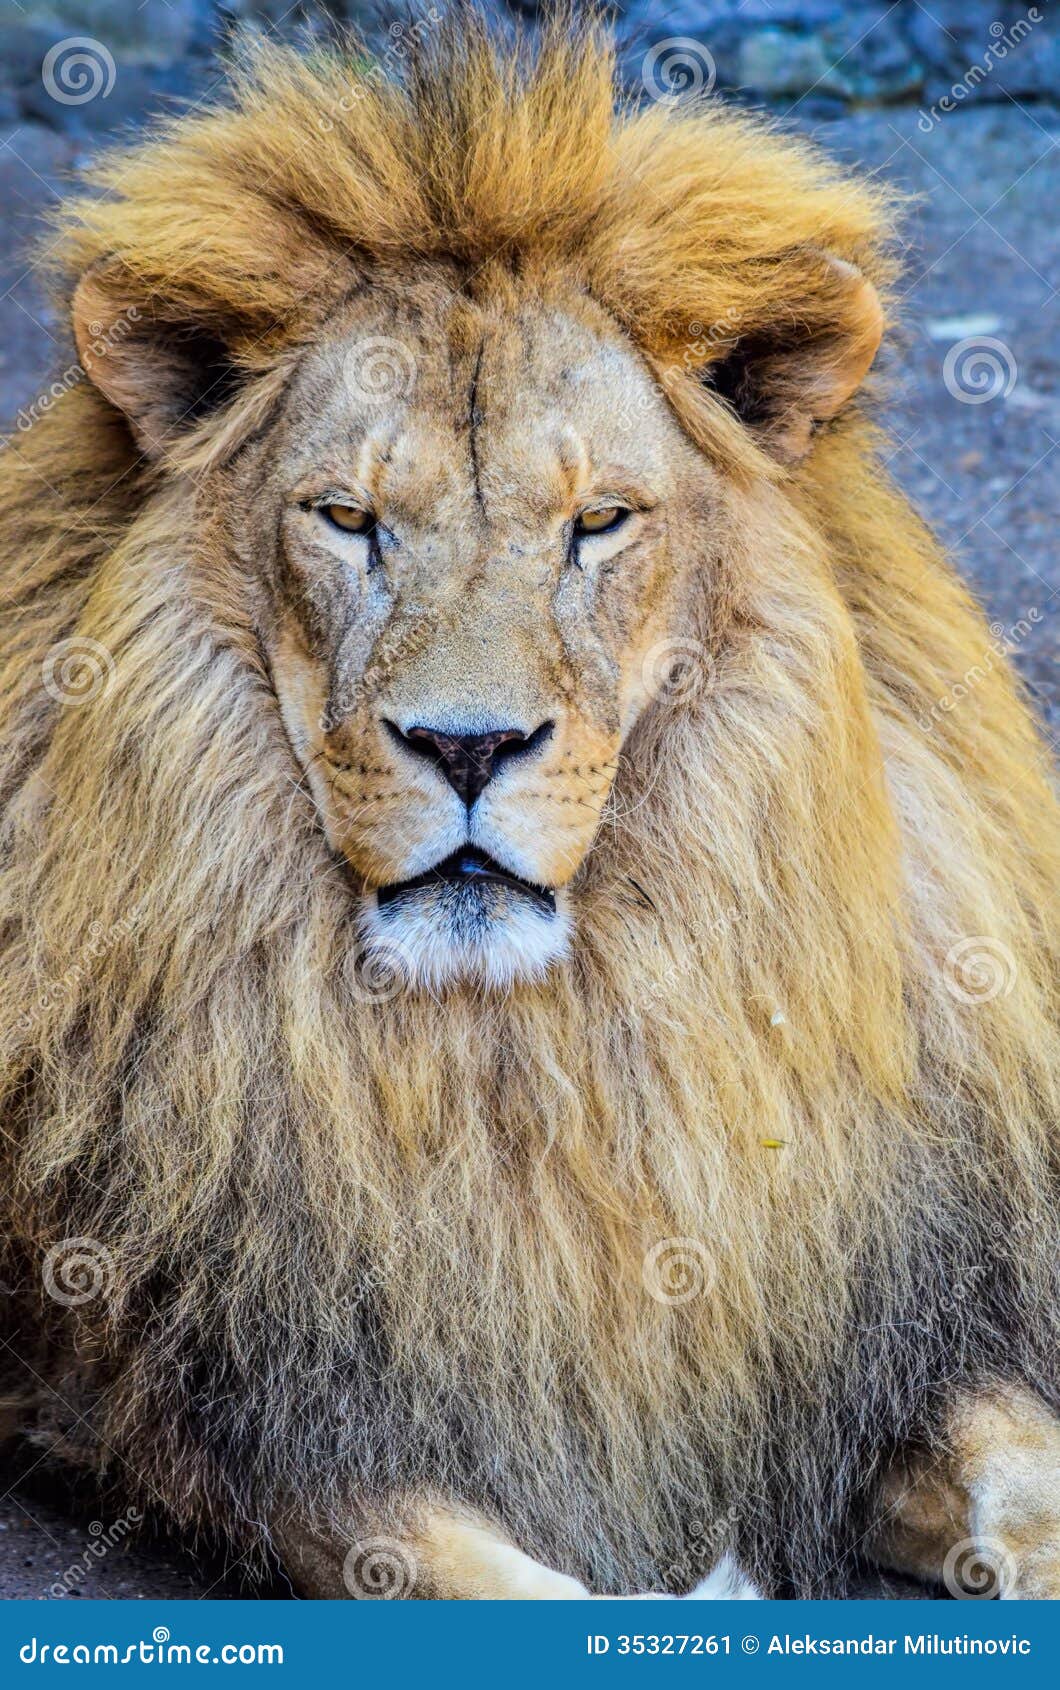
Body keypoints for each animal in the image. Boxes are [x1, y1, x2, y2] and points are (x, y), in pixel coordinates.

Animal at [0, 14, 1057, 1601]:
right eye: (349, 519)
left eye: (597, 523)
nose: (469, 744)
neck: (545, 1055)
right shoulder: (256, 1422)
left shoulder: (875, 1335)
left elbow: (1028, 1480)